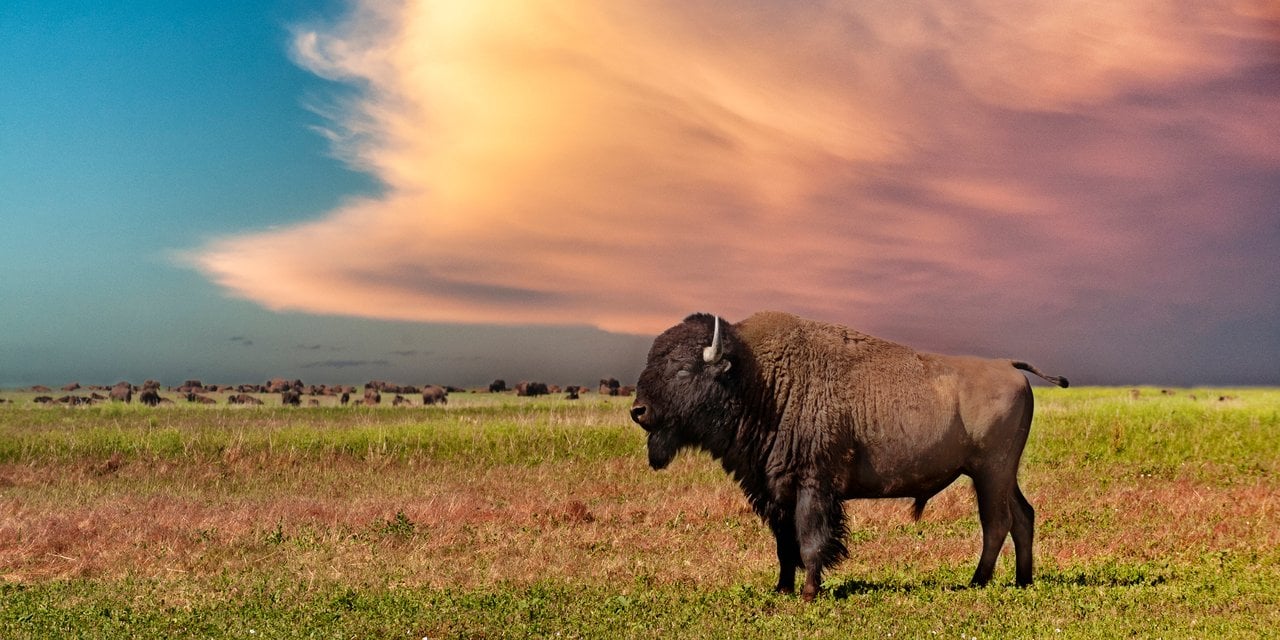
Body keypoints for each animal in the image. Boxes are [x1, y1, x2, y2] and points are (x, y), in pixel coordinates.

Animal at [629, 312, 1068, 601]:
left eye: (683, 370)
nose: (639, 411)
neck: (760, 380)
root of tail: (1008, 366)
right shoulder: (776, 492)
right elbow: (784, 545)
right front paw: (782, 589)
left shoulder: (812, 487)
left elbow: (810, 541)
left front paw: (808, 593)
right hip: (1001, 475)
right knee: (1023, 516)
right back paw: (1022, 581)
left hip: (989, 473)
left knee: (996, 523)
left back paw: (977, 581)